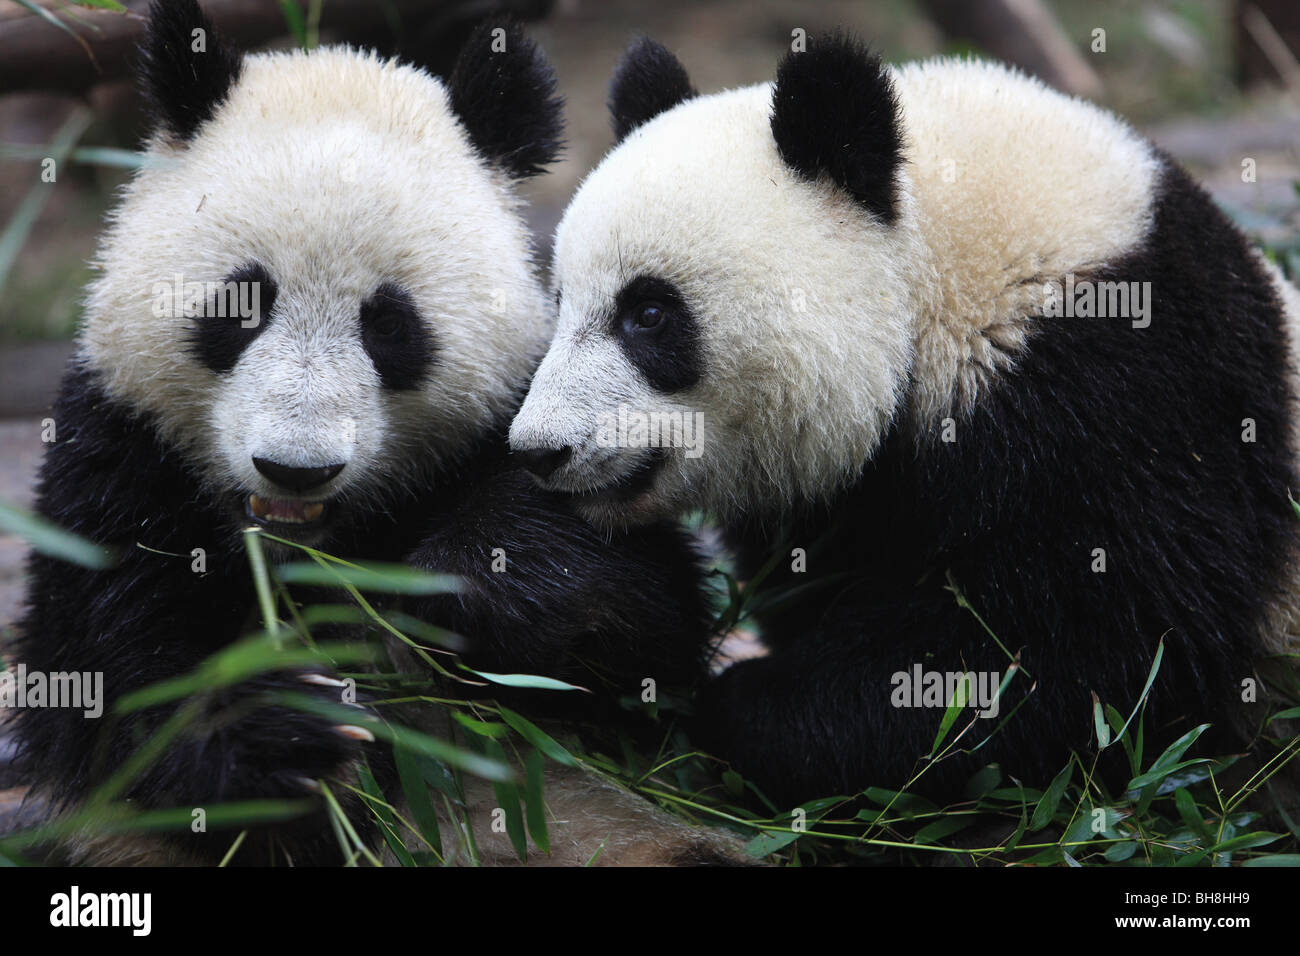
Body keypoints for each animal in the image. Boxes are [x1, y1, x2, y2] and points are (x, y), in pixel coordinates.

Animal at [12, 1, 732, 866]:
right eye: (240, 308)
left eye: (389, 326)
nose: (295, 468)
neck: (311, 548)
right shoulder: (119, 453)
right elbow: (100, 693)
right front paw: (284, 735)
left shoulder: (539, 423)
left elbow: (648, 633)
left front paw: (465, 585)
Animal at [510, 33, 1300, 809]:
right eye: (561, 301)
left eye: (647, 313)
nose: (539, 451)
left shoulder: (1121, 394)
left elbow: (1084, 656)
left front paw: (744, 708)